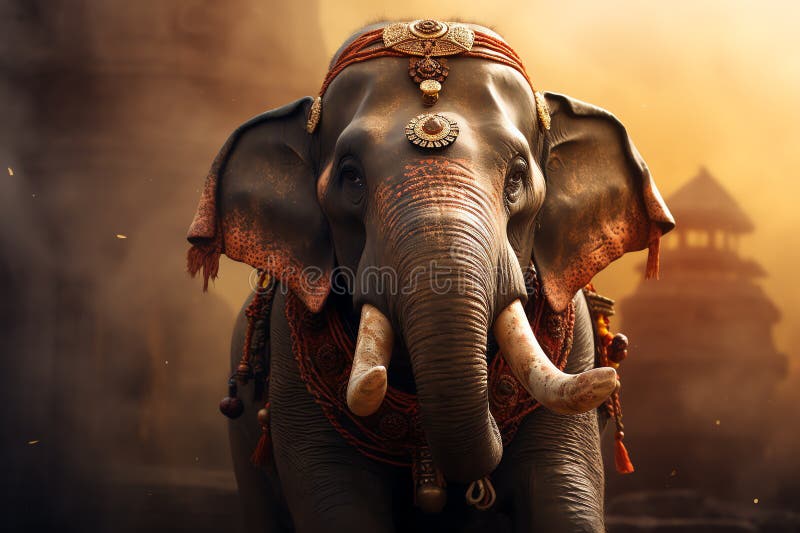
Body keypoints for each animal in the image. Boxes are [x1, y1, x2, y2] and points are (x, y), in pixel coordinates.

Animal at [186, 20, 674, 533]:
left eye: (517, 176)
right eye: (350, 177)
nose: (611, 379)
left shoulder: (574, 345)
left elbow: (563, 492)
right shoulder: (289, 358)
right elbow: (336, 500)